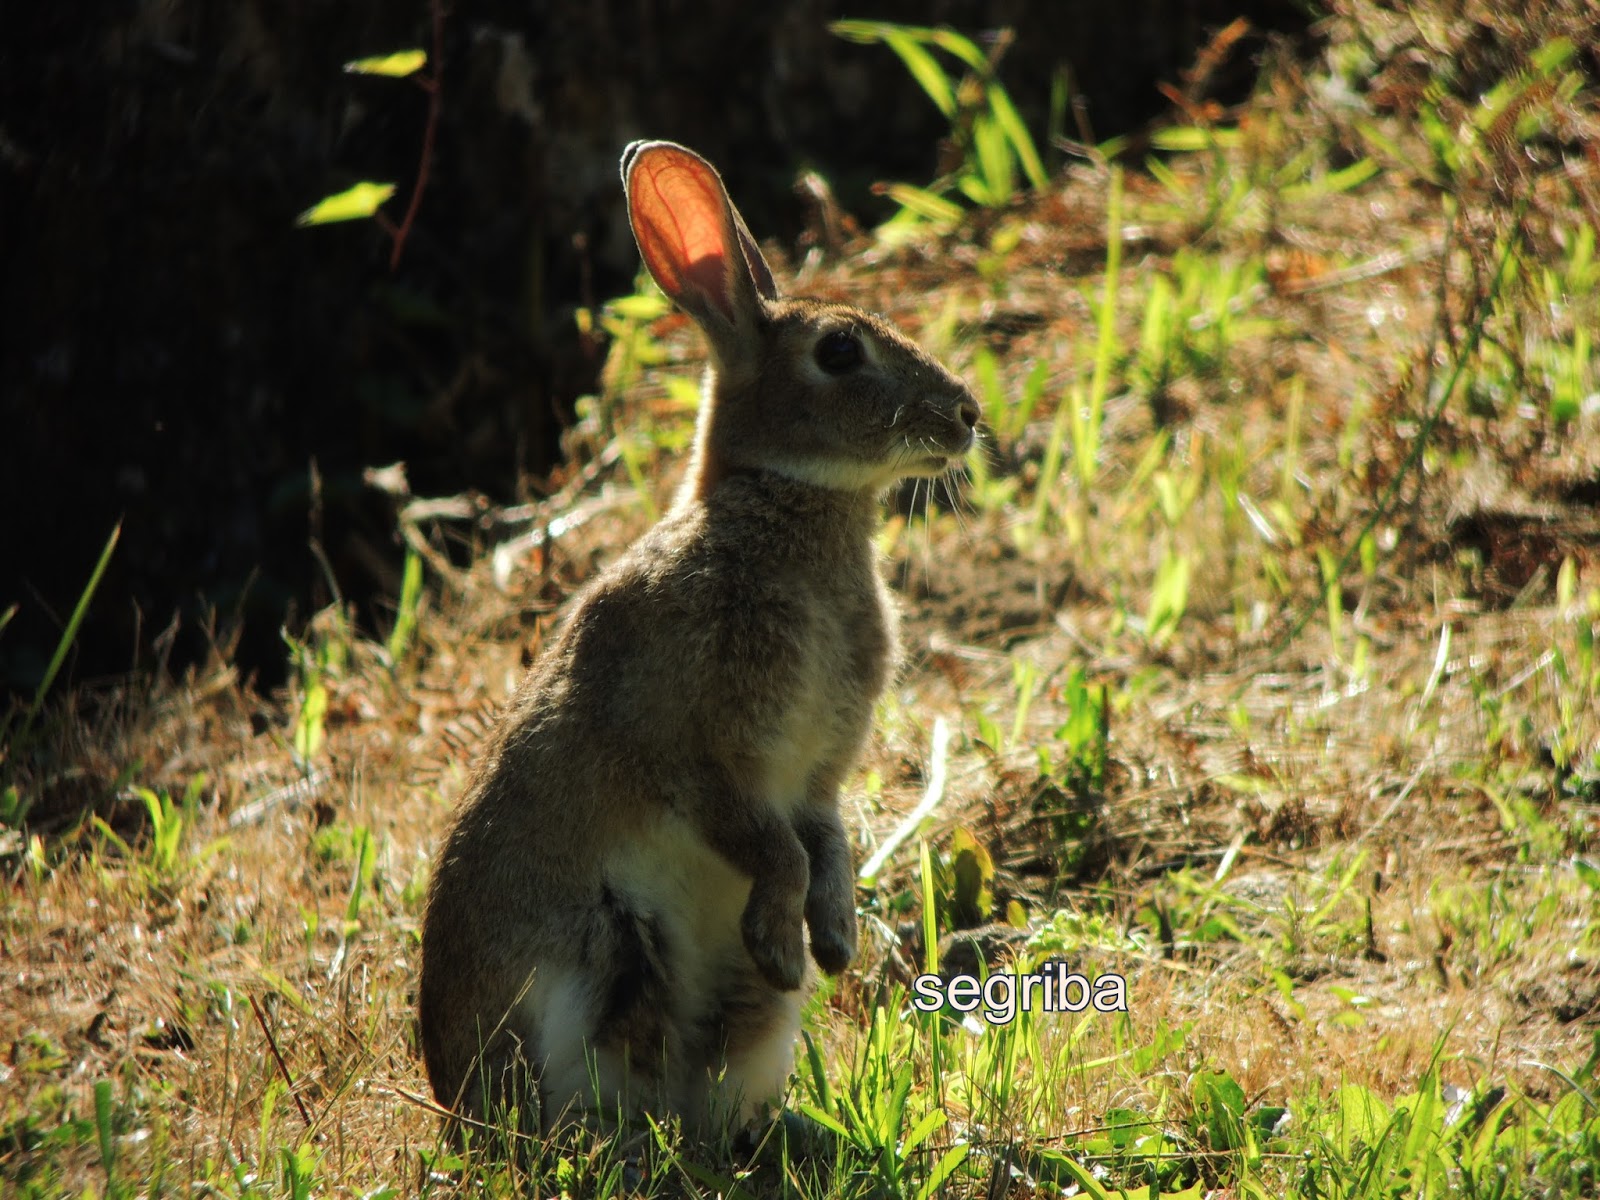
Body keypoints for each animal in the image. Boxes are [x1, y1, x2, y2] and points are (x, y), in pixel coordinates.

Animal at [417, 140, 980, 1142]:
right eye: (840, 351)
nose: (967, 415)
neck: (788, 505)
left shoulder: (815, 776)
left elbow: (825, 841)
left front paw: (832, 942)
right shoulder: (695, 754)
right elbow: (778, 849)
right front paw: (787, 943)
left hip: (747, 1032)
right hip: (560, 985)